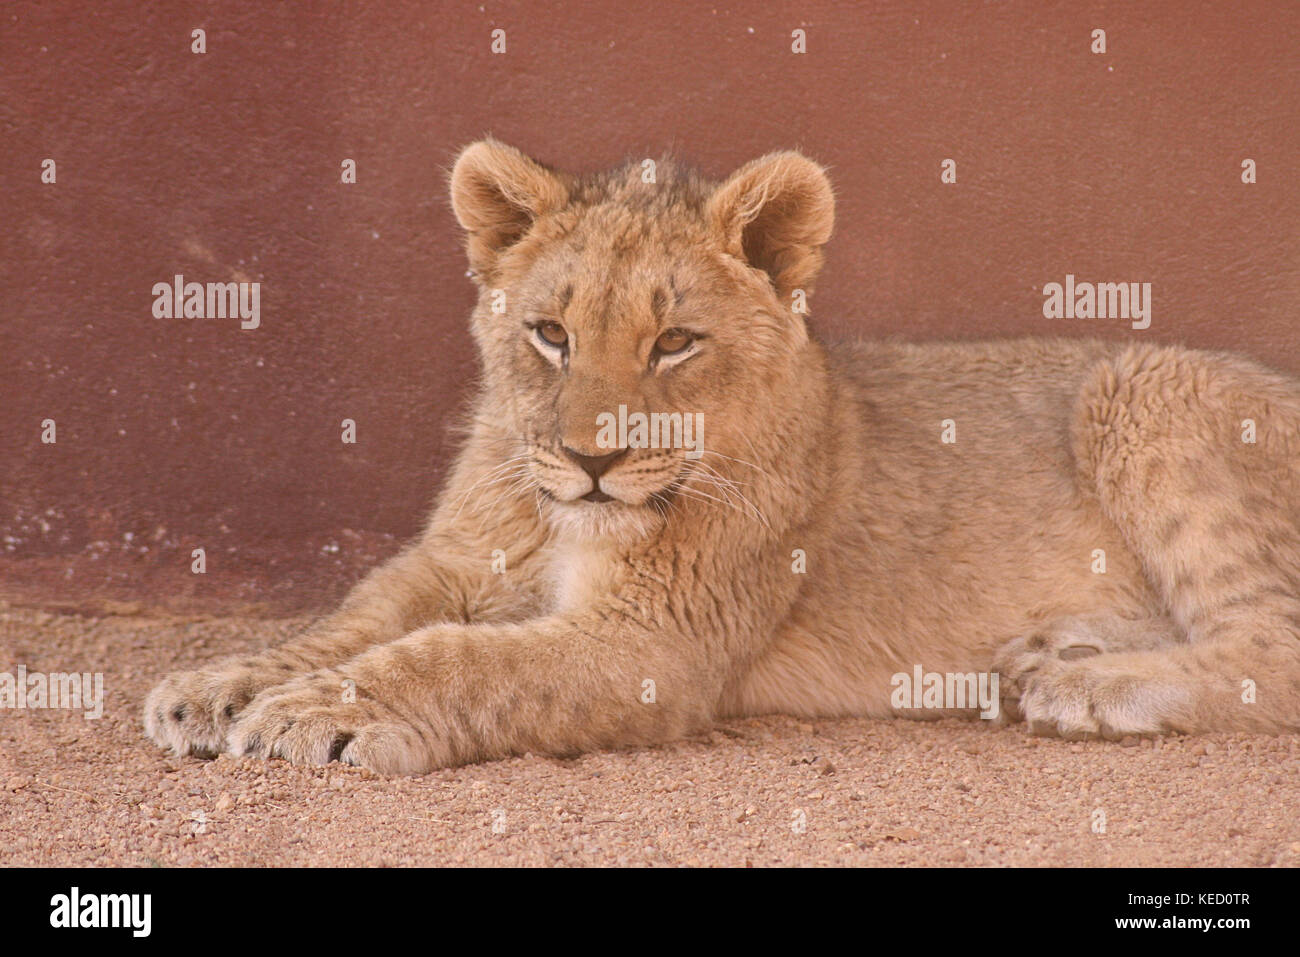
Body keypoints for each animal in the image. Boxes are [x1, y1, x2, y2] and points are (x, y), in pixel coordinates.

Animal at [144, 139, 1300, 774]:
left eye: (674, 342)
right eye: (550, 333)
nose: (592, 460)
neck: (559, 517)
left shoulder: (659, 640)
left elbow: (457, 660)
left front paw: (322, 712)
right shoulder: (454, 560)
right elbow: (355, 616)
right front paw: (222, 687)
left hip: (1141, 385)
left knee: (1272, 648)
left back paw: (1086, 688)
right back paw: (1052, 653)